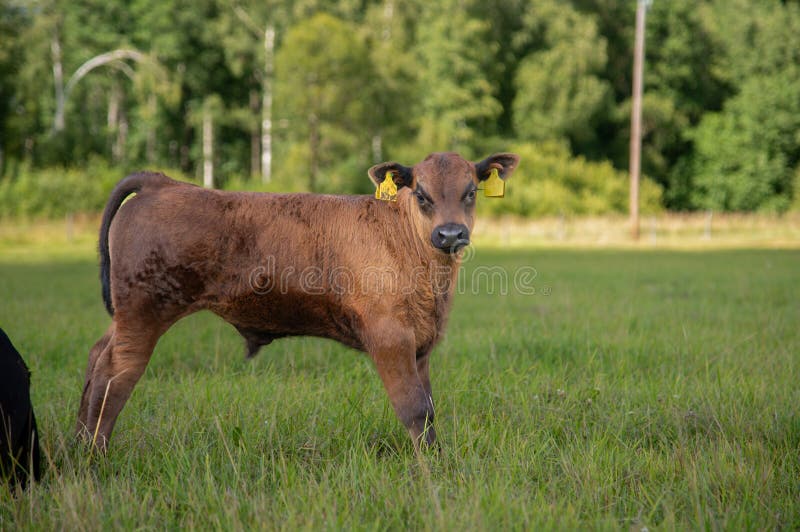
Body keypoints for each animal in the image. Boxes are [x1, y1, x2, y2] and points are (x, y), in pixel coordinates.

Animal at [76, 152, 519, 451]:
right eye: (423, 195)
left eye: (470, 192)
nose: (450, 234)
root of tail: (162, 183)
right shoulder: (391, 338)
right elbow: (414, 408)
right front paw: (432, 473)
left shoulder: (420, 343)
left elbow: (428, 407)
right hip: (144, 311)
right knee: (116, 373)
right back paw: (95, 455)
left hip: (126, 316)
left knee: (97, 357)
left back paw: (79, 444)